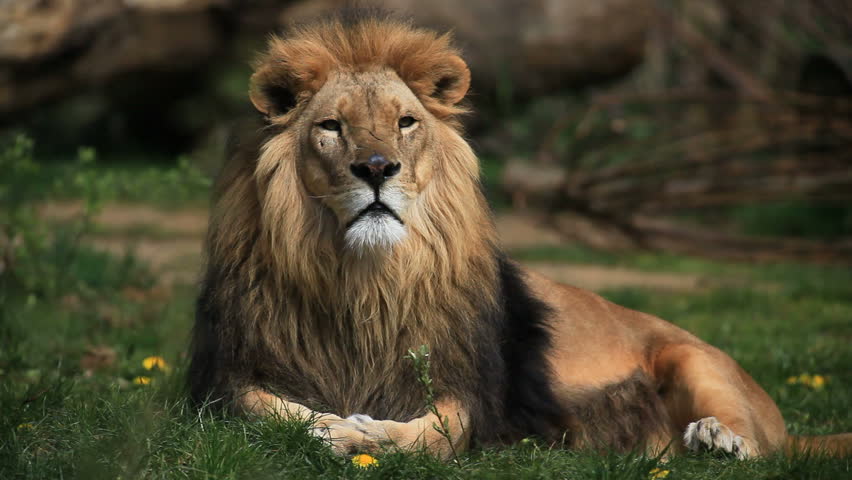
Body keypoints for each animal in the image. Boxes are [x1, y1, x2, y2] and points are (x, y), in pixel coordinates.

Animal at [188, 13, 851, 460]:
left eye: (406, 122)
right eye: (331, 126)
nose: (377, 169)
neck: (366, 279)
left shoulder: (475, 392)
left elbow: (438, 433)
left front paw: (362, 430)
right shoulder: (223, 383)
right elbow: (267, 413)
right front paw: (325, 426)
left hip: (697, 359)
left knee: (759, 451)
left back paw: (719, 440)